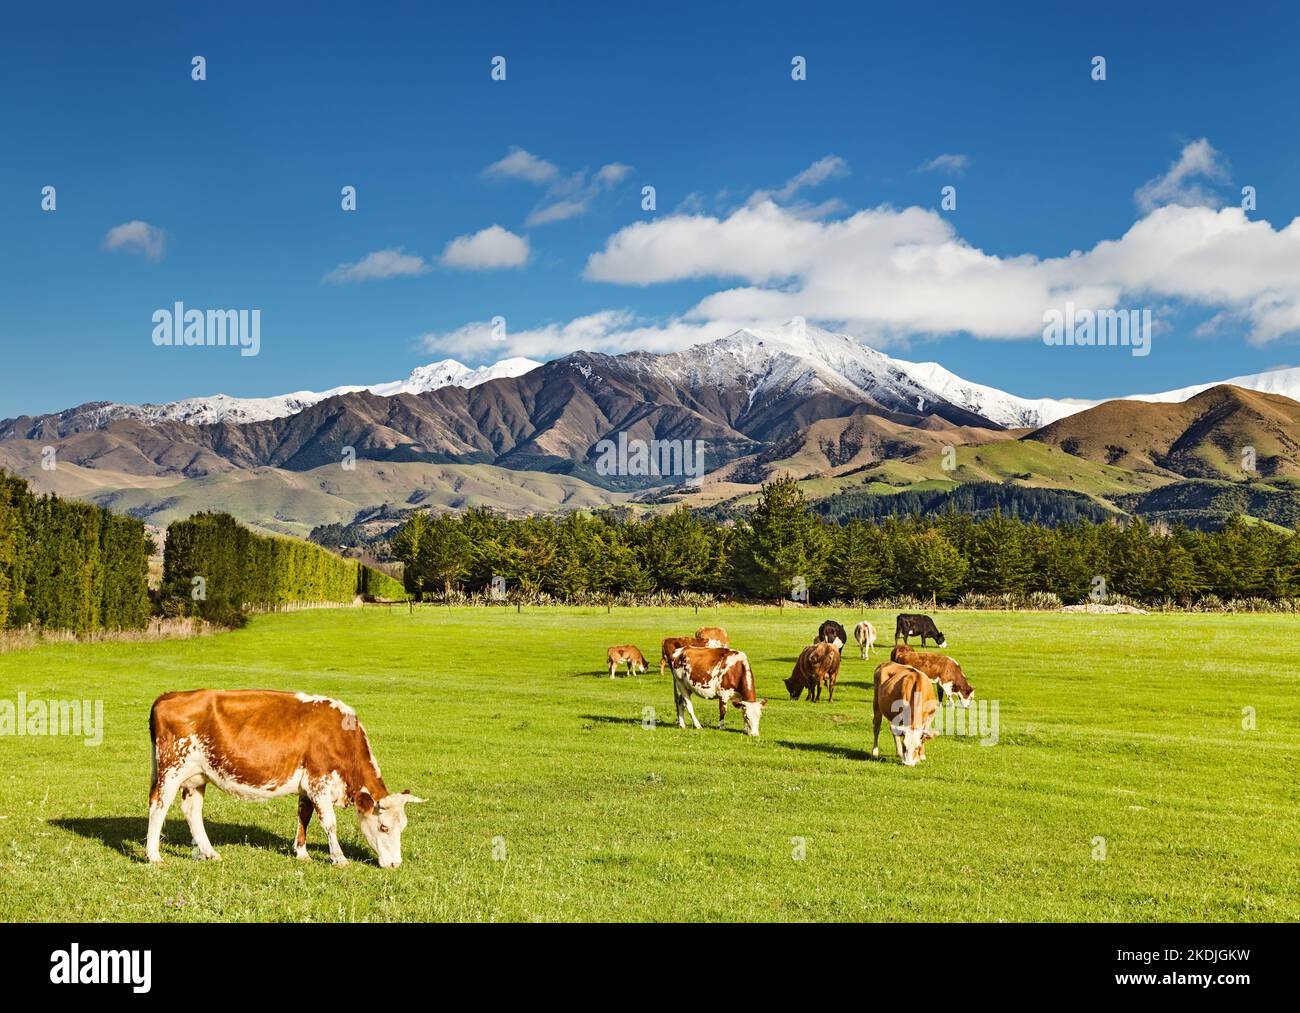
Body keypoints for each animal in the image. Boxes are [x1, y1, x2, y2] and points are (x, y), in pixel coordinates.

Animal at [146, 689, 424, 869]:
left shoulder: (307, 787)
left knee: (192, 810)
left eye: (403, 826)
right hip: (171, 769)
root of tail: (168, 696)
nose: (396, 864)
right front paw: (339, 858)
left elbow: (304, 817)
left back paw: (210, 853)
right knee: (158, 806)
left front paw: (301, 853)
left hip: (196, 776)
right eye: (384, 827)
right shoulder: (319, 782)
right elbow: (330, 823)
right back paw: (153, 856)